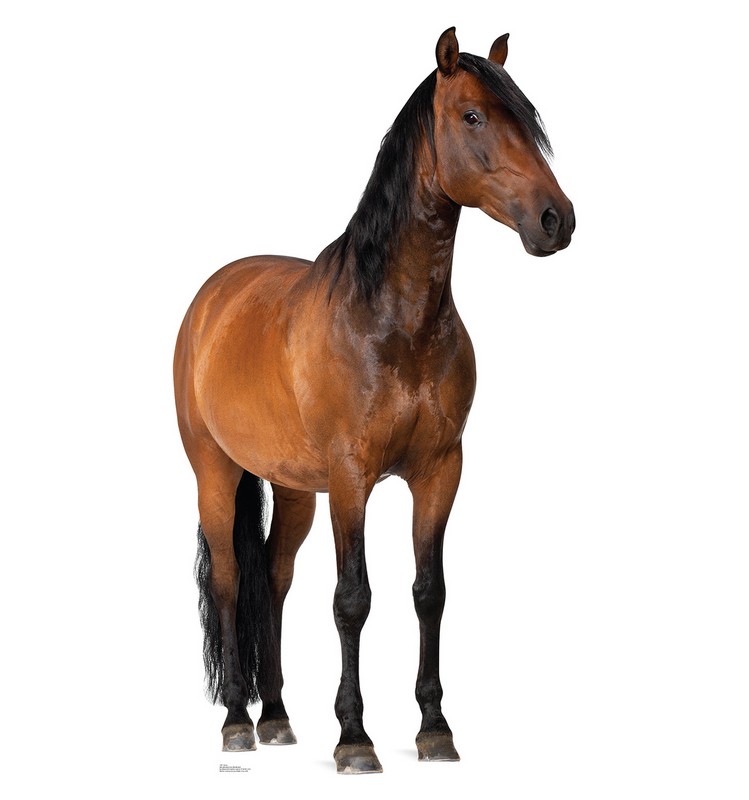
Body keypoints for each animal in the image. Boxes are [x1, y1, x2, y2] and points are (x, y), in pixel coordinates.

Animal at [174, 27, 574, 774]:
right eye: (472, 117)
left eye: (529, 120)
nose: (555, 219)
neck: (392, 322)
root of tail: (212, 298)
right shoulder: (351, 478)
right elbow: (352, 598)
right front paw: (354, 737)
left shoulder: (440, 470)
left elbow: (429, 592)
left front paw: (434, 728)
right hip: (216, 472)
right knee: (231, 581)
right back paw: (238, 721)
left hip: (294, 490)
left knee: (273, 578)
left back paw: (277, 717)